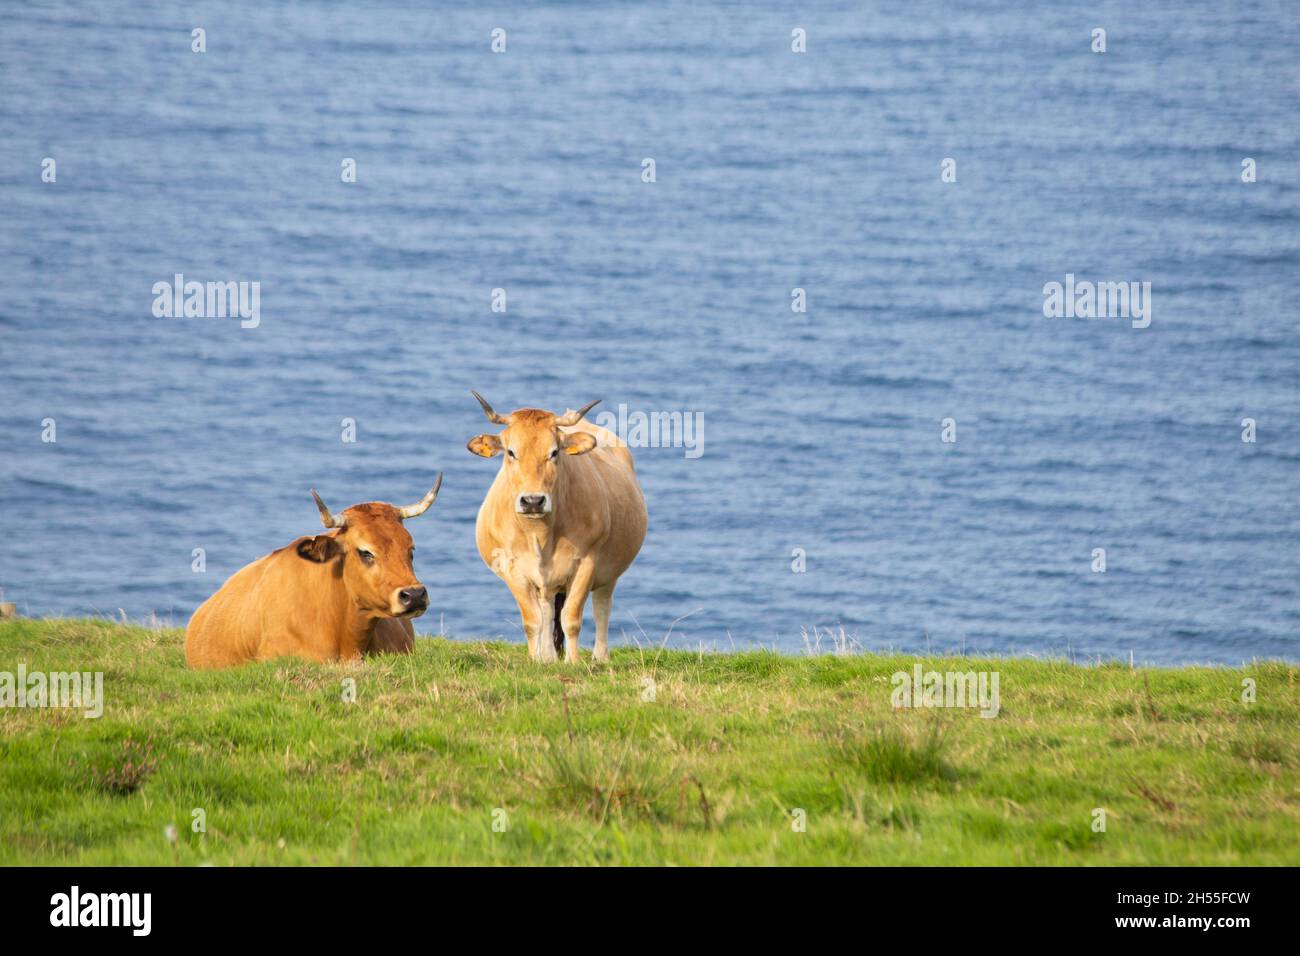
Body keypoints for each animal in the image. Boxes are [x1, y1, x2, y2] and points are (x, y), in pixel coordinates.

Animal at [466, 393, 647, 663]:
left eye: (553, 452)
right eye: (511, 452)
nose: (532, 501)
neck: (539, 535)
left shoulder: (587, 562)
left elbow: (571, 618)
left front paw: (574, 661)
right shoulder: (512, 568)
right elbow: (533, 621)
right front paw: (536, 660)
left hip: (610, 570)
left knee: (602, 607)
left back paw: (600, 656)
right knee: (547, 610)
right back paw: (548, 656)